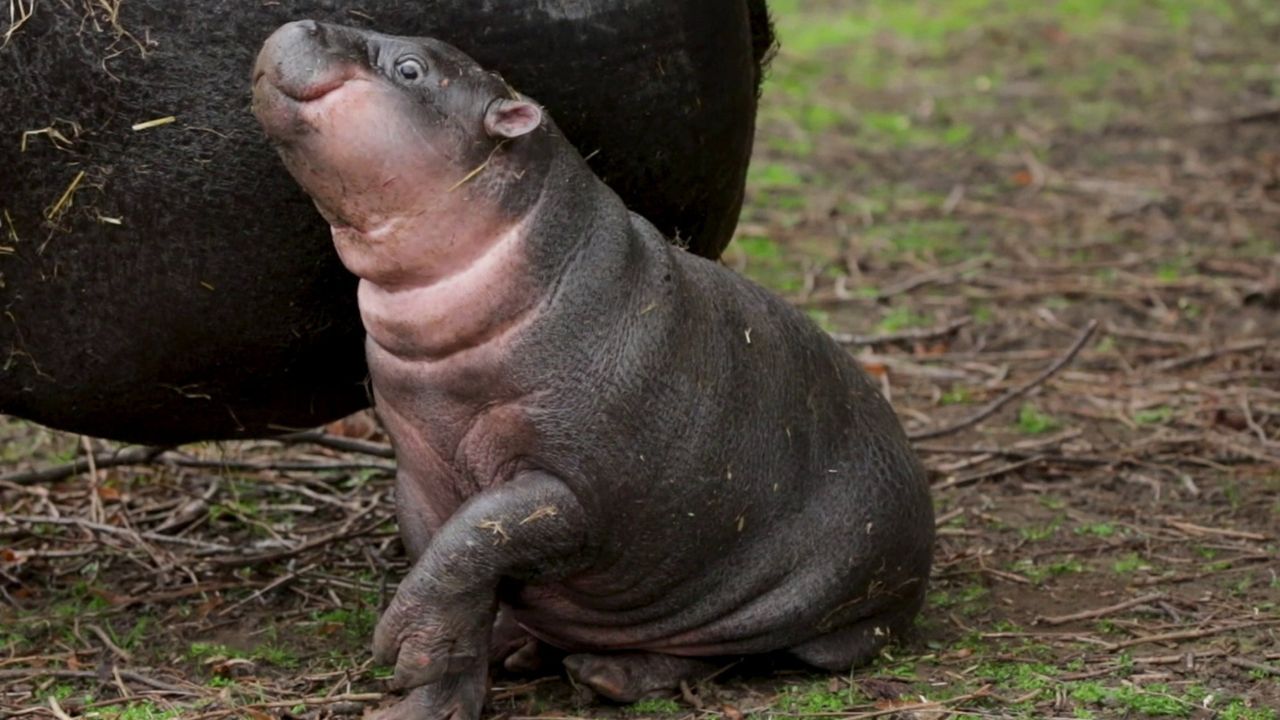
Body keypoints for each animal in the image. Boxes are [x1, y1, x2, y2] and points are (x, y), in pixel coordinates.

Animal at [252, 20, 934, 720]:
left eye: (411, 68)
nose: (304, 23)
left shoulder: (571, 489)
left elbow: (472, 544)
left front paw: (400, 649)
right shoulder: (420, 480)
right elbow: (453, 576)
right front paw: (421, 705)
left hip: (797, 598)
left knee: (735, 650)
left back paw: (607, 676)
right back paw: (524, 649)